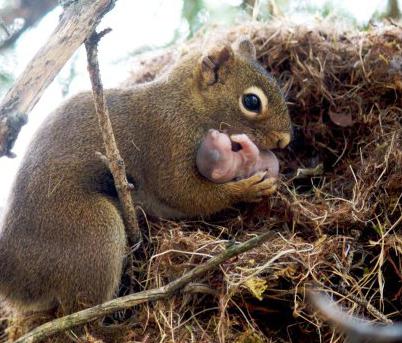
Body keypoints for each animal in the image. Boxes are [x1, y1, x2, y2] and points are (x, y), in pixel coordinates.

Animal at [0, 37, 290, 318]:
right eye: (251, 102)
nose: (285, 140)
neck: (187, 105)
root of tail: (14, 276)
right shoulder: (167, 141)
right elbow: (185, 194)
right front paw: (247, 188)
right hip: (92, 230)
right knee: (80, 314)